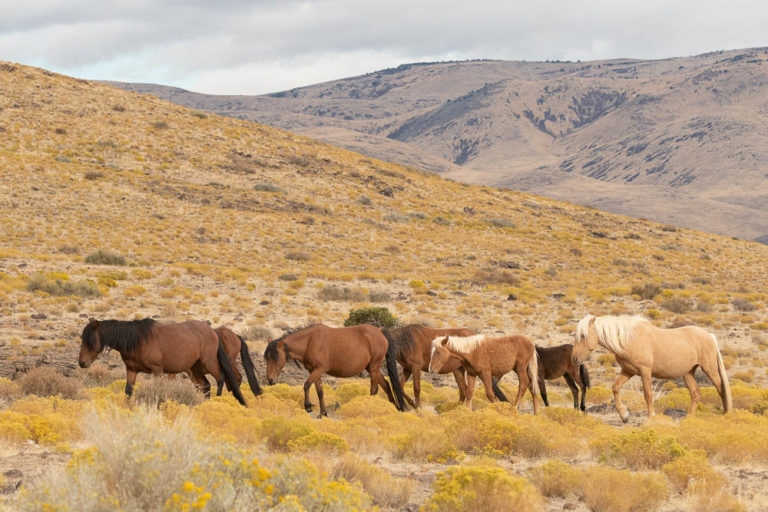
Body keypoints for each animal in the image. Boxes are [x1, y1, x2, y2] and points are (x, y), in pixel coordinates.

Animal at [78, 318, 246, 406]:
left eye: (89, 340)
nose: (82, 363)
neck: (138, 340)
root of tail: (213, 332)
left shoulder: (157, 370)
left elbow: (157, 390)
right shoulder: (131, 371)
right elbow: (128, 391)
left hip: (208, 362)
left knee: (220, 378)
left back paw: (216, 401)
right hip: (194, 368)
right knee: (205, 385)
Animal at [263, 323, 405, 416]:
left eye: (275, 358)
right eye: (266, 358)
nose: (270, 380)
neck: (309, 341)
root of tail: (380, 331)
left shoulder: (320, 369)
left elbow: (306, 385)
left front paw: (308, 406)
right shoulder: (314, 371)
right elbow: (319, 391)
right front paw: (323, 413)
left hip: (374, 367)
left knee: (374, 389)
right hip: (372, 368)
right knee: (386, 385)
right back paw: (394, 408)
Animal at [571, 314, 732, 422]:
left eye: (583, 335)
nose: (575, 359)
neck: (630, 340)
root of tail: (709, 336)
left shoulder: (645, 371)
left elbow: (648, 395)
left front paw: (651, 417)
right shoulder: (628, 371)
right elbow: (615, 388)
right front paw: (624, 415)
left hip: (709, 369)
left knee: (721, 389)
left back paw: (726, 413)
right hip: (688, 373)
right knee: (695, 393)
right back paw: (689, 419)